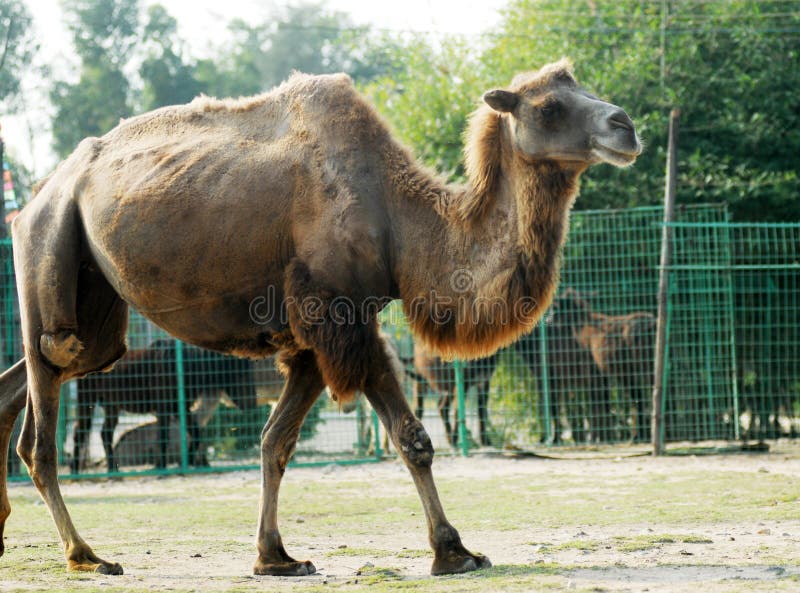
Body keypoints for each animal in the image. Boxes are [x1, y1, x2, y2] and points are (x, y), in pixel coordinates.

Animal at [0, 59, 640, 576]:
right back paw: (86, 555)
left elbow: (277, 441)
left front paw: (276, 557)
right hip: (50, 252)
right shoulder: (343, 315)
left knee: (35, 373)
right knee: (41, 417)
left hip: (97, 313)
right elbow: (410, 436)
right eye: (549, 106)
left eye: (581, 86)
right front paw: (453, 552)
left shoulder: (314, 338)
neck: (398, 218)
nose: (625, 126)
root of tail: (37, 194)